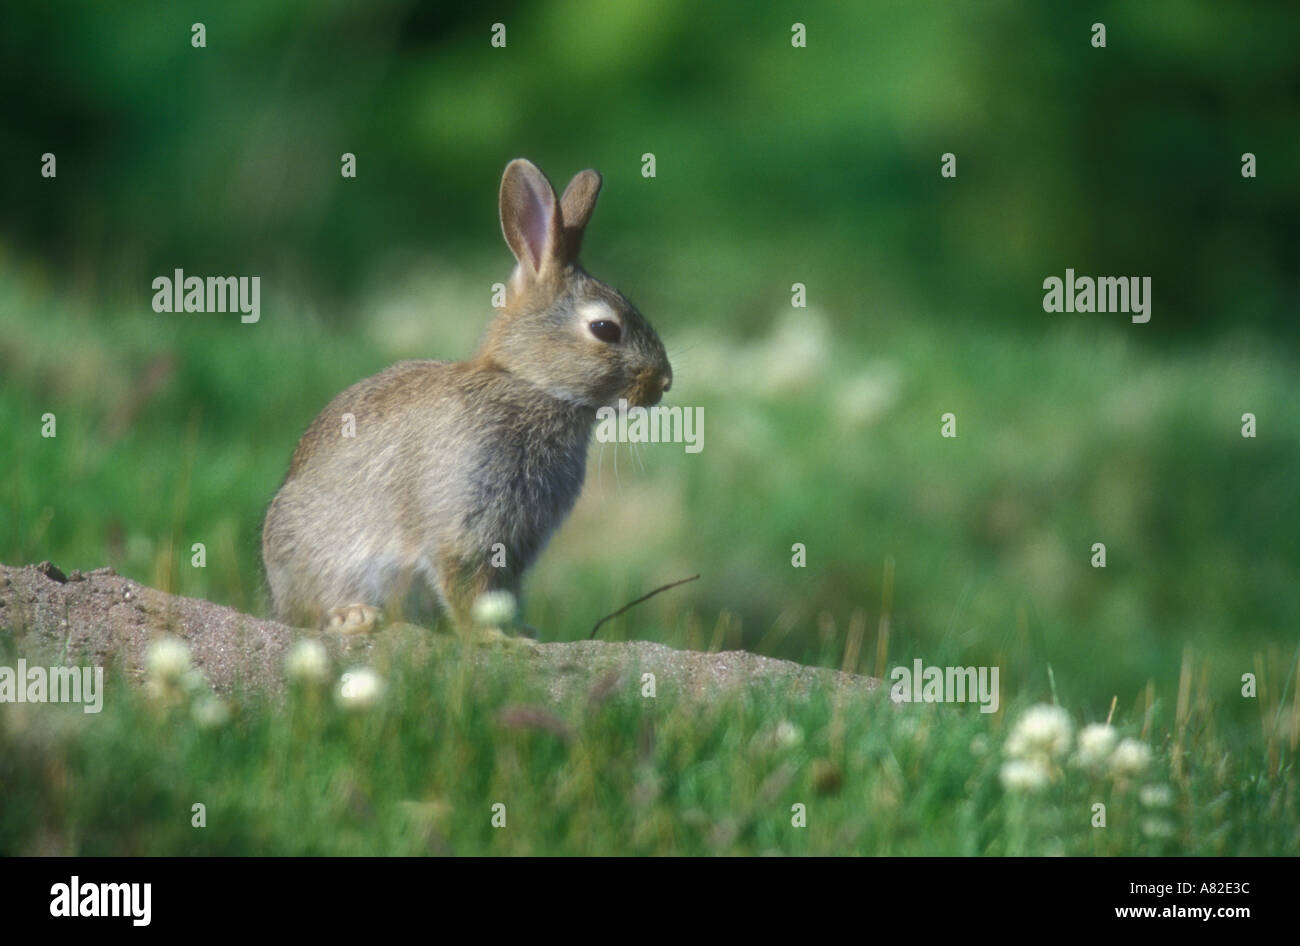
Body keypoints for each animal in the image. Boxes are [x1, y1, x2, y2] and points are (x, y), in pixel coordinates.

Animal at [261, 158, 673, 638]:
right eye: (605, 329)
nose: (664, 382)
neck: (528, 385)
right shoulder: (465, 522)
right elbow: (464, 582)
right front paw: (492, 638)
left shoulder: (516, 545)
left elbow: (502, 592)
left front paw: (521, 633)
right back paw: (354, 617)